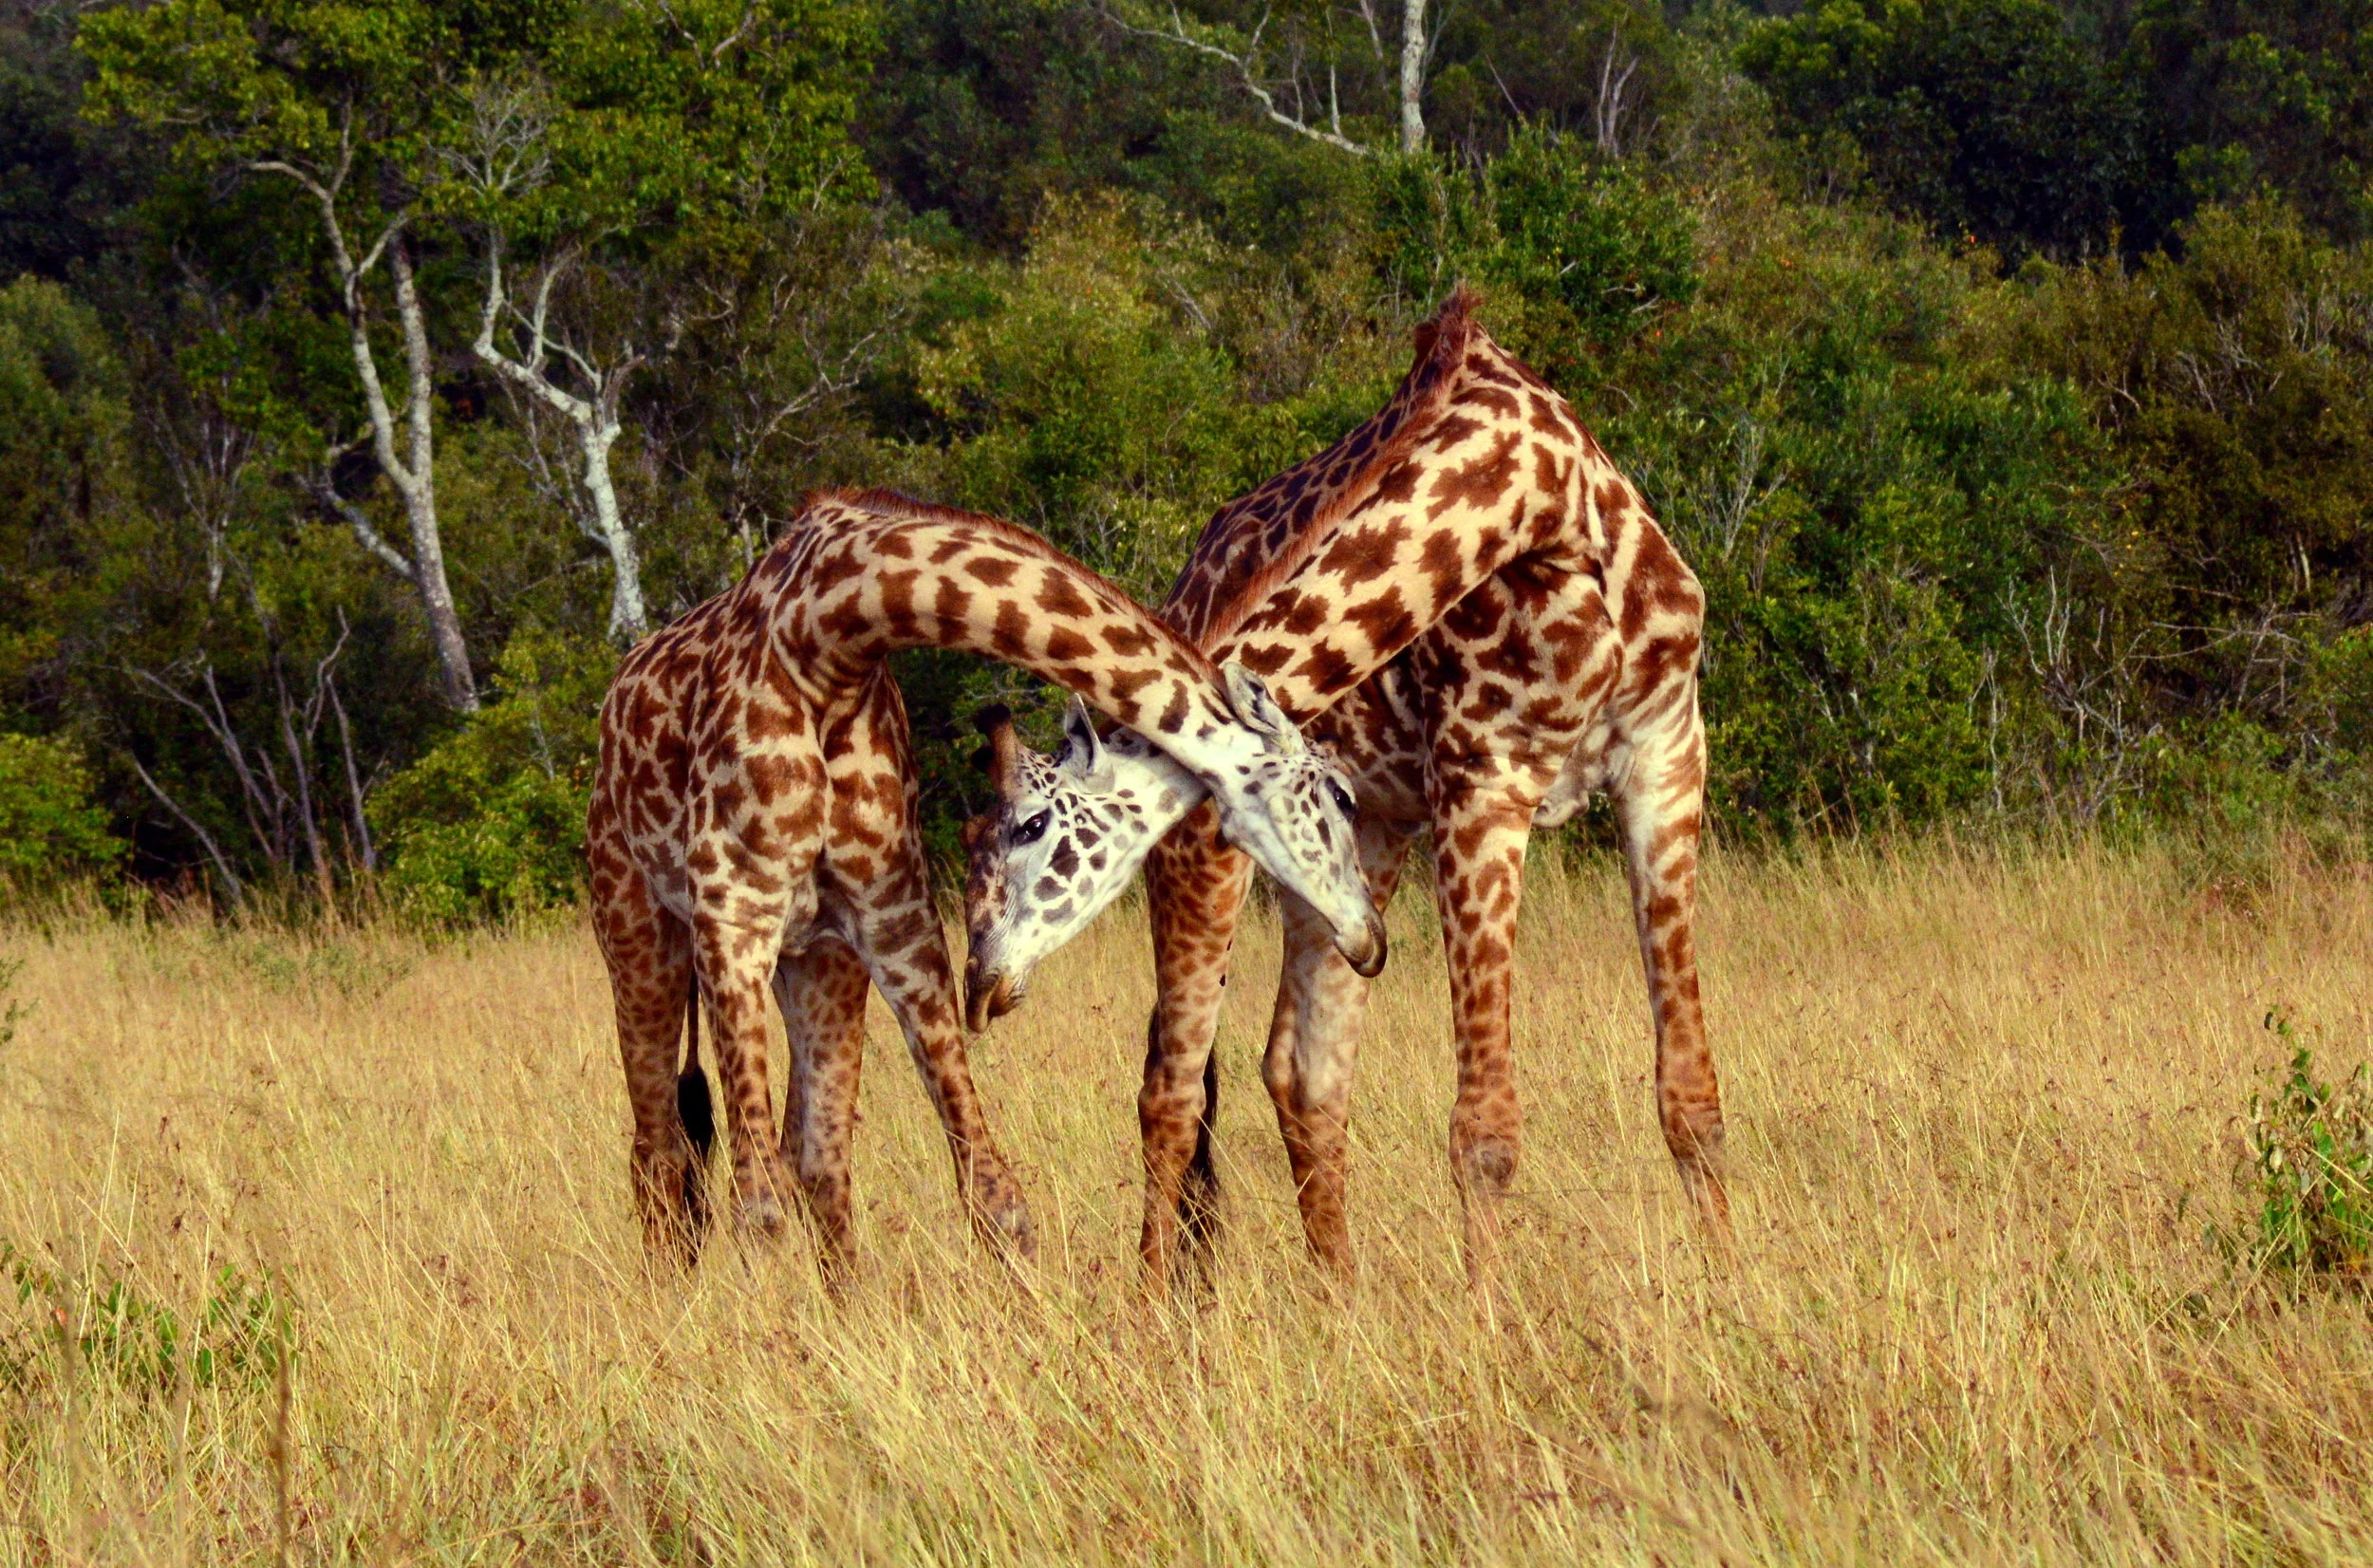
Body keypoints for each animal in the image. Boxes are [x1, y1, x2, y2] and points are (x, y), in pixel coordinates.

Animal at [588, 487, 1386, 1276]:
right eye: (1337, 796)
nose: (1370, 938)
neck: (828, 634)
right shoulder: (736, 913)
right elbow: (757, 1216)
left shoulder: (890, 920)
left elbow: (993, 1195)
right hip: (641, 931)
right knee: (660, 1152)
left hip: (813, 959)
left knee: (810, 1156)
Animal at [963, 287, 1727, 1292]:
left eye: (1029, 829)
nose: (980, 984)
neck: (1543, 505)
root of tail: (1183, 587)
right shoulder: (1481, 782)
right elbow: (1485, 1129)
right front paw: (1496, 1321)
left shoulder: (1667, 760)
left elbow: (1692, 1096)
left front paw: (1735, 1287)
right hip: (1215, 865)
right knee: (1172, 1091)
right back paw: (1155, 1306)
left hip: (1363, 848)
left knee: (1300, 1071)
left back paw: (1340, 1298)